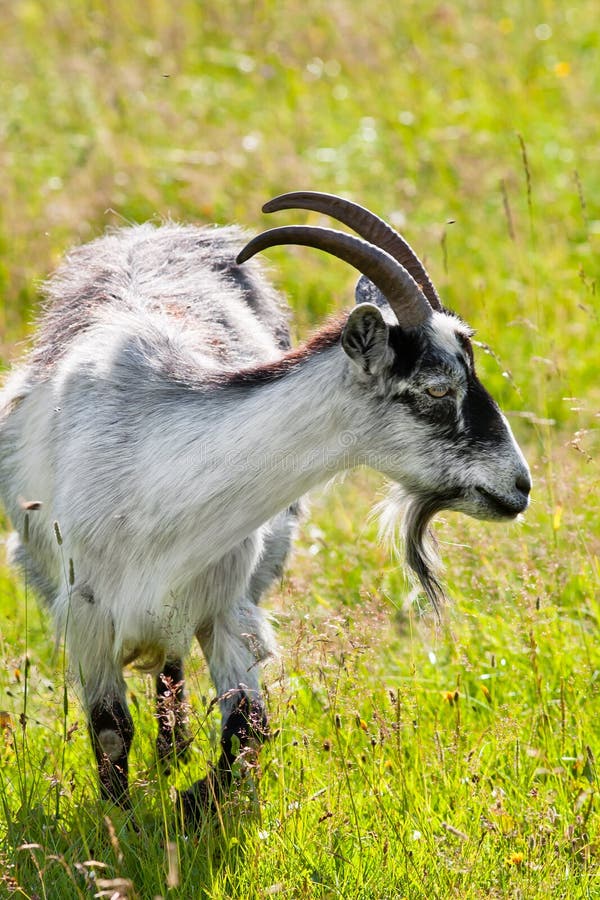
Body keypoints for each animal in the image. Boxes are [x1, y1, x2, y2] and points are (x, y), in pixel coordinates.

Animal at [0, 192, 531, 825]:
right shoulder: (85, 614)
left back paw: (175, 751)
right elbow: (110, 729)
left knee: (172, 671)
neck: (153, 474)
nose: (520, 486)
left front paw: (190, 804)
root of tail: (152, 231)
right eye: (436, 389)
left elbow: (248, 725)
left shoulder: (228, 604)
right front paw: (121, 823)